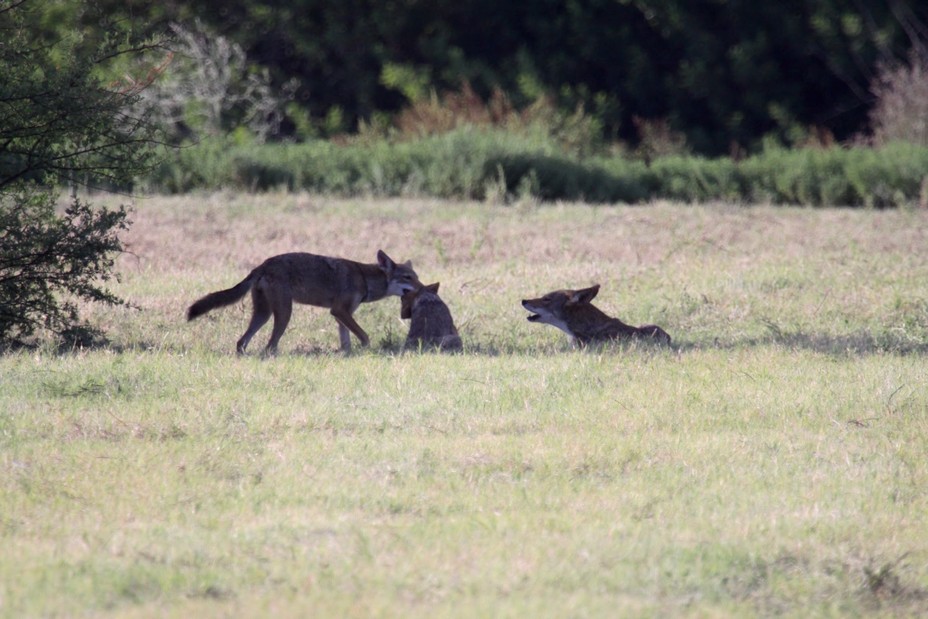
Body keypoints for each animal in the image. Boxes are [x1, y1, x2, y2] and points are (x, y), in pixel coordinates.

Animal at [187, 250, 420, 355]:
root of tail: (262, 265)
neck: (364, 278)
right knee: (269, 346)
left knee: (242, 342)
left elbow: (346, 342)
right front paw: (364, 351)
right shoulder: (339, 311)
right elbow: (365, 336)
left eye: (416, 277)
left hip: (264, 315)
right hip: (284, 314)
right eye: (408, 277)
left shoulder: (341, 316)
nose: (423, 288)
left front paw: (347, 355)